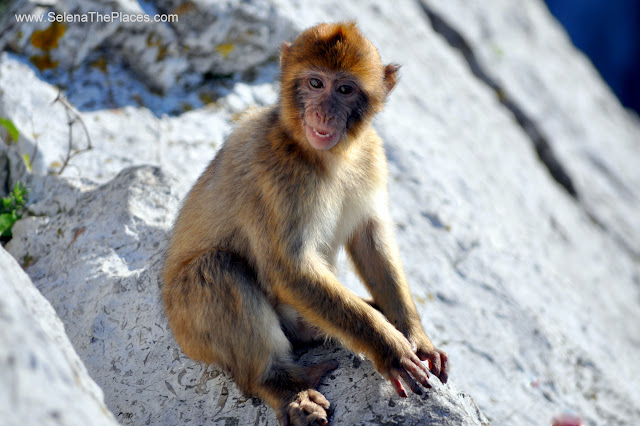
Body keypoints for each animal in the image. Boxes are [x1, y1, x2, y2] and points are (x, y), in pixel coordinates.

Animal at [162, 22, 449, 425]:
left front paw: (416, 336)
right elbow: (289, 268)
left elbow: (370, 239)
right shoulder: (276, 173)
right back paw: (282, 386)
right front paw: (389, 348)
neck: (327, 157)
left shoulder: (372, 155)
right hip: (189, 327)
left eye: (344, 90)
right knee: (216, 267)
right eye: (315, 83)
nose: (323, 114)